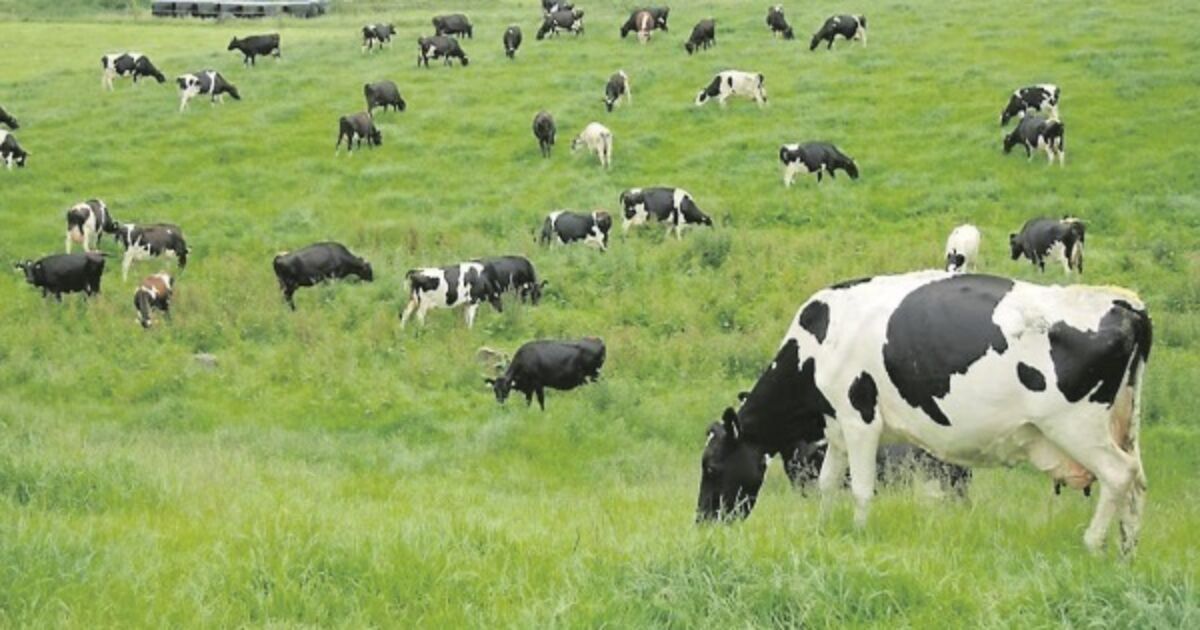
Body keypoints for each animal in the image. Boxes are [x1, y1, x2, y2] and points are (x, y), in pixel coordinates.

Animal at [696, 271, 1152, 557]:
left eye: (713, 467)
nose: (703, 524)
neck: (815, 347)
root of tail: (1123, 302)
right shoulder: (837, 426)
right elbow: (827, 484)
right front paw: (822, 530)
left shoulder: (860, 418)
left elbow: (860, 488)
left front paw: (859, 535)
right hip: (1124, 425)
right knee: (1137, 483)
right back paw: (1127, 552)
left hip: (1076, 425)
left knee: (1119, 474)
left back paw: (1093, 545)